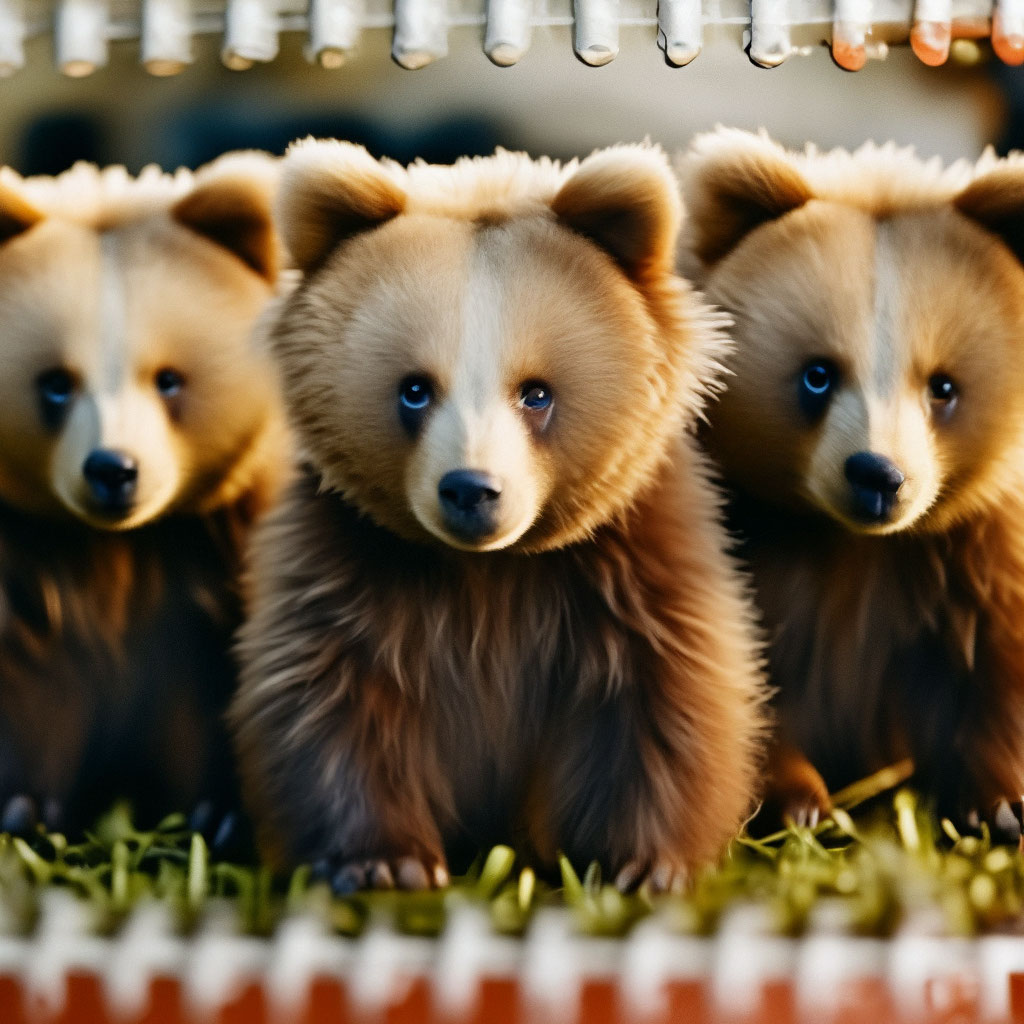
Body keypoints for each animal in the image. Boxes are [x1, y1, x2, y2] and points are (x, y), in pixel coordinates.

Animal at [0, 153, 288, 837]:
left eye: (169, 379)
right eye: (55, 382)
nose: (113, 469)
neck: (118, 548)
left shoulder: (221, 547)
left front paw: (221, 814)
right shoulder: (25, 555)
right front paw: (24, 807)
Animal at [229, 139, 768, 894]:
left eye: (536, 392)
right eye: (415, 389)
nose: (471, 490)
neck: (486, 571)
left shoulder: (627, 570)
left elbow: (662, 701)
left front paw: (643, 866)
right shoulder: (346, 562)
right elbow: (328, 700)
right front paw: (385, 862)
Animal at [678, 127, 1024, 834]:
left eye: (943, 386)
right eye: (818, 374)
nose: (878, 475)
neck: (849, 541)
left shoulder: (972, 544)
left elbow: (994, 665)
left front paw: (998, 803)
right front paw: (796, 803)